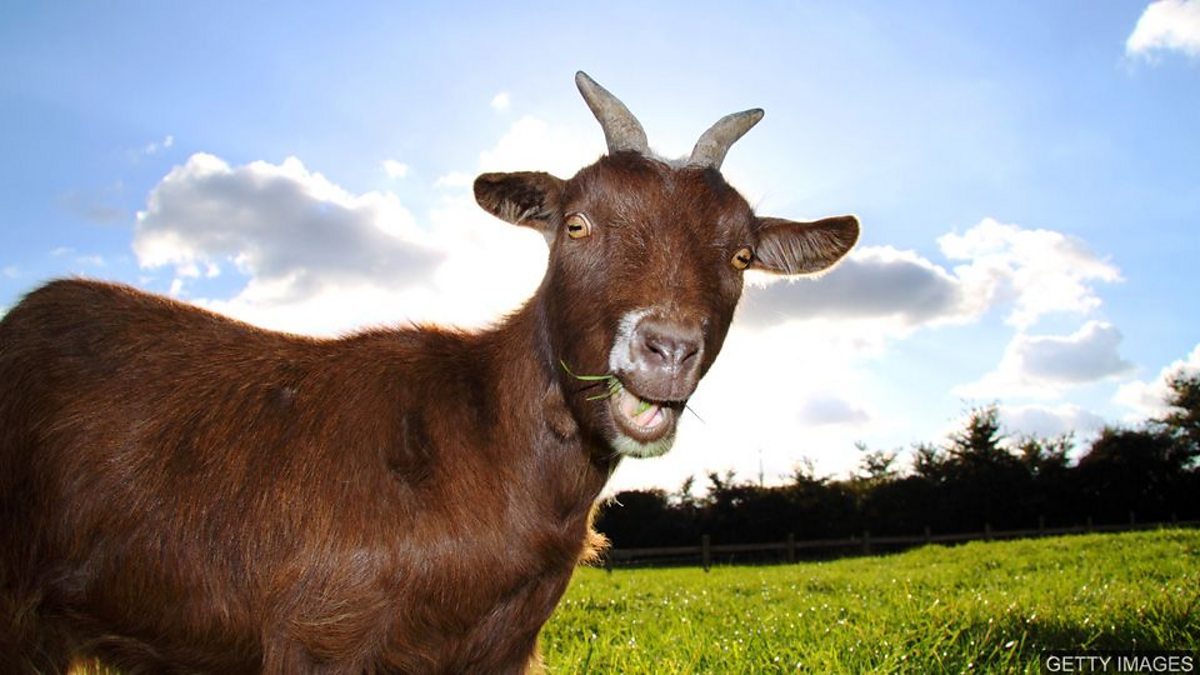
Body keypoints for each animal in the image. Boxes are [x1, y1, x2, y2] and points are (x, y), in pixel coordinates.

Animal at [0, 72, 859, 673]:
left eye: (740, 255)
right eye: (576, 224)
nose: (667, 346)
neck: (482, 446)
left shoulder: (499, 648)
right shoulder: (320, 631)